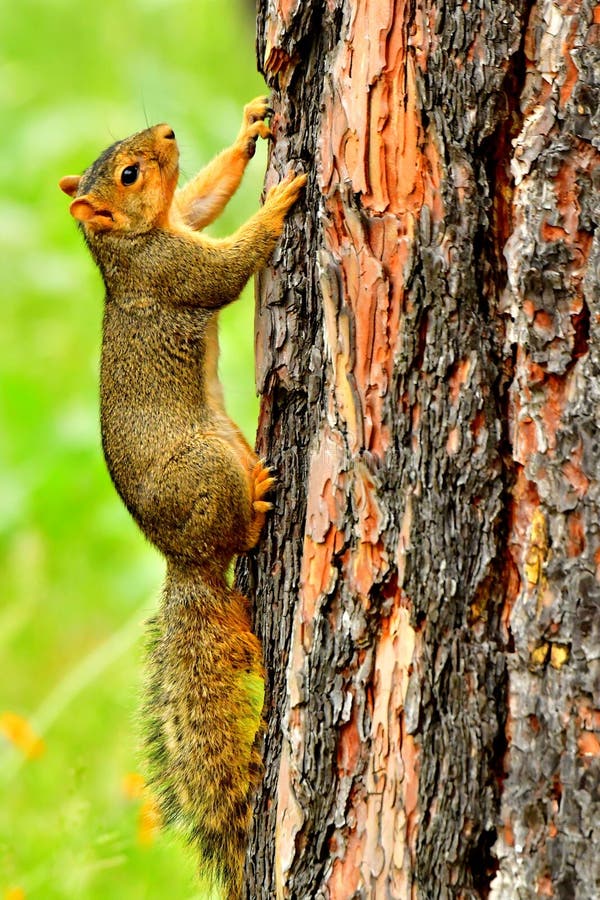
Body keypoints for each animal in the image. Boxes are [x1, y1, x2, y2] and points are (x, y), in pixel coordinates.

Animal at [59, 97, 306, 900]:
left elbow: (202, 195)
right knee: (232, 536)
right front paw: (281, 202)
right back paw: (257, 507)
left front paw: (252, 127)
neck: (126, 244)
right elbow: (227, 267)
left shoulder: (183, 221)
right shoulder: (174, 267)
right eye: (130, 174)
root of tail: (183, 564)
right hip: (205, 471)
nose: (166, 131)